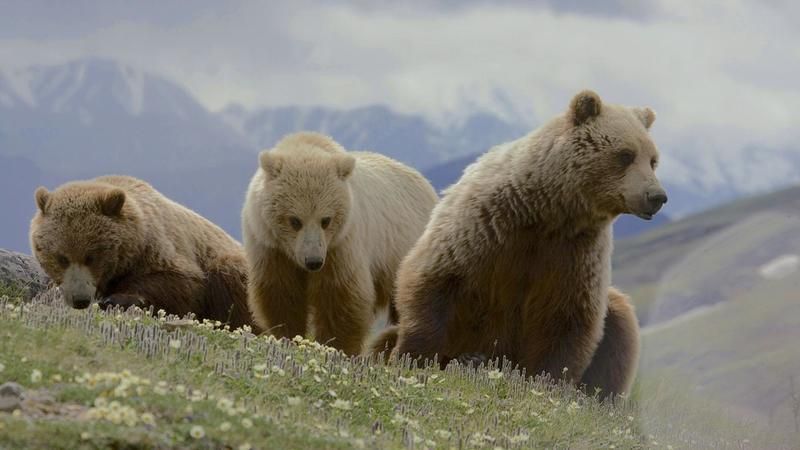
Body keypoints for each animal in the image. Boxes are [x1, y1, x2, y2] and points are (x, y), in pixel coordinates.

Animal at [30, 175, 259, 332]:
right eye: (62, 257)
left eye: (91, 256)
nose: (80, 299)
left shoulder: (161, 248)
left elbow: (181, 282)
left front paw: (116, 299)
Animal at [242, 132, 438, 355]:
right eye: (295, 220)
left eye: (326, 220)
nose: (313, 261)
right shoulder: (270, 246)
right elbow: (281, 294)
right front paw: (287, 336)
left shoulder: (341, 246)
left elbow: (340, 298)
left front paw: (334, 346)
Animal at [372, 90, 665, 399]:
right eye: (625, 154)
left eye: (653, 160)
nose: (657, 196)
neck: (548, 211)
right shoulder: (484, 226)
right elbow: (433, 280)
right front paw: (412, 357)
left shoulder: (575, 253)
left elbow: (569, 319)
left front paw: (546, 381)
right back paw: (467, 358)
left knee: (619, 323)